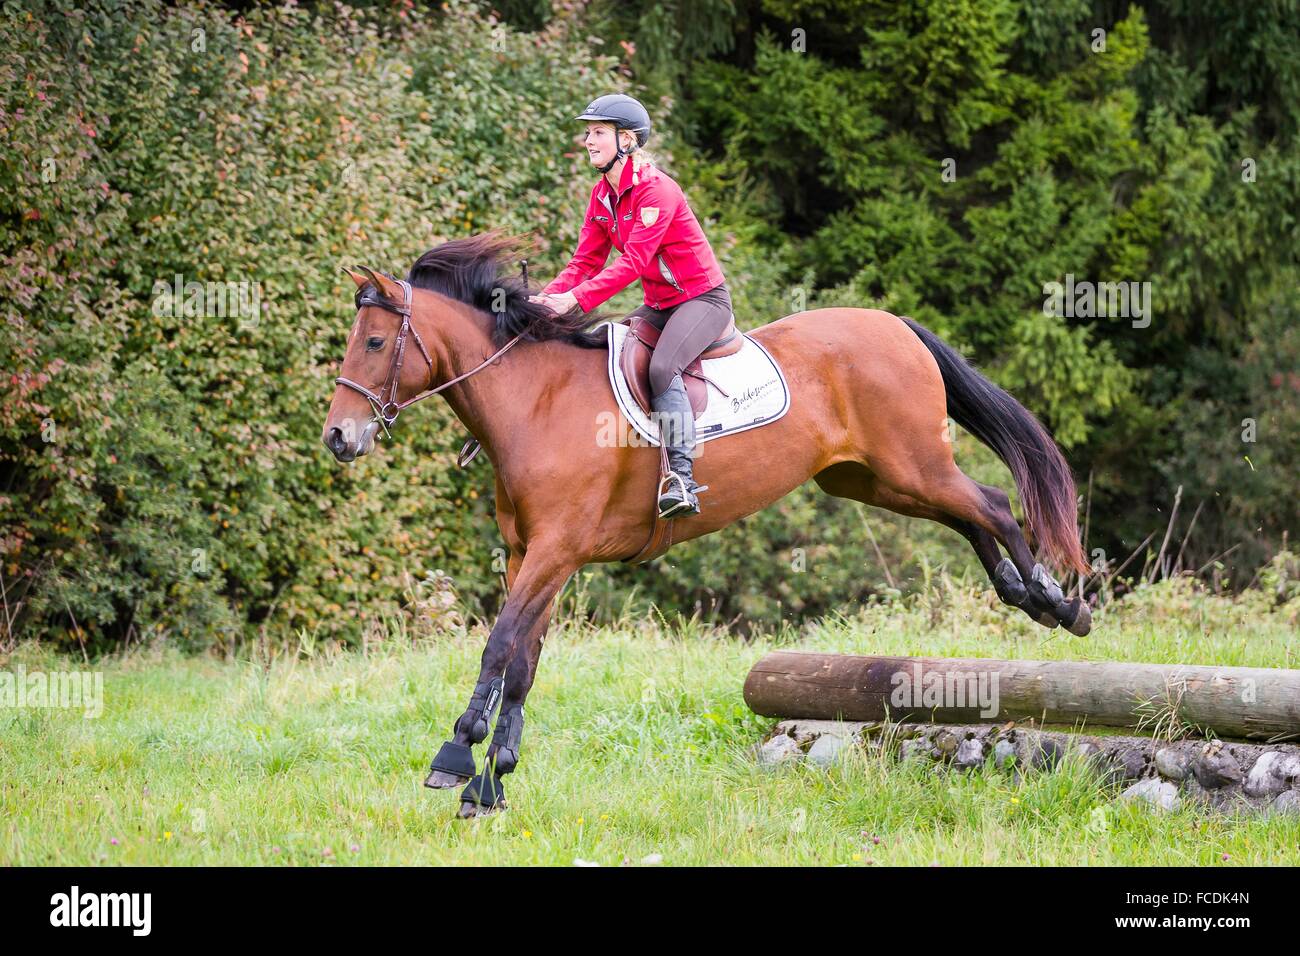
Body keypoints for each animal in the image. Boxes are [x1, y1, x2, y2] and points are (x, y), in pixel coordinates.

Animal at [322, 232, 1091, 818]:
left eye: (375, 342)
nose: (338, 438)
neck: (533, 401)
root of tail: (893, 323)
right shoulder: (531, 557)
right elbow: (524, 663)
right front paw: (493, 782)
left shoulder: (554, 552)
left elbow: (499, 646)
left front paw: (457, 755)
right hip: (873, 477)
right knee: (971, 513)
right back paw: (1029, 595)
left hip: (911, 464)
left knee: (993, 502)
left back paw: (1059, 603)